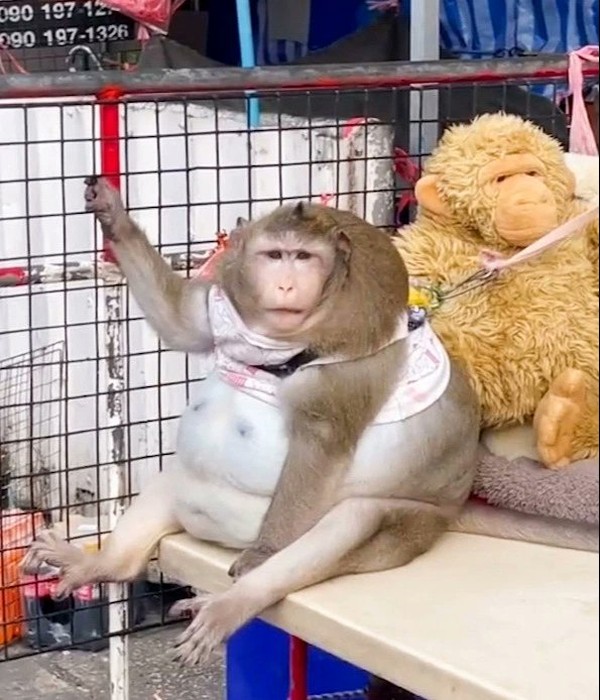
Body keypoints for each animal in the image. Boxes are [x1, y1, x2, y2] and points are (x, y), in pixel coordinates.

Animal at [22, 176, 481, 667]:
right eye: (275, 255)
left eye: (305, 258)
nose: (285, 285)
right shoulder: (224, 308)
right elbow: (182, 323)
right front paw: (113, 215)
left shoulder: (347, 370)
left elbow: (320, 448)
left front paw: (264, 553)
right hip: (187, 489)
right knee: (176, 478)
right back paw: (105, 563)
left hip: (412, 527)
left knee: (356, 519)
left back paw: (233, 601)